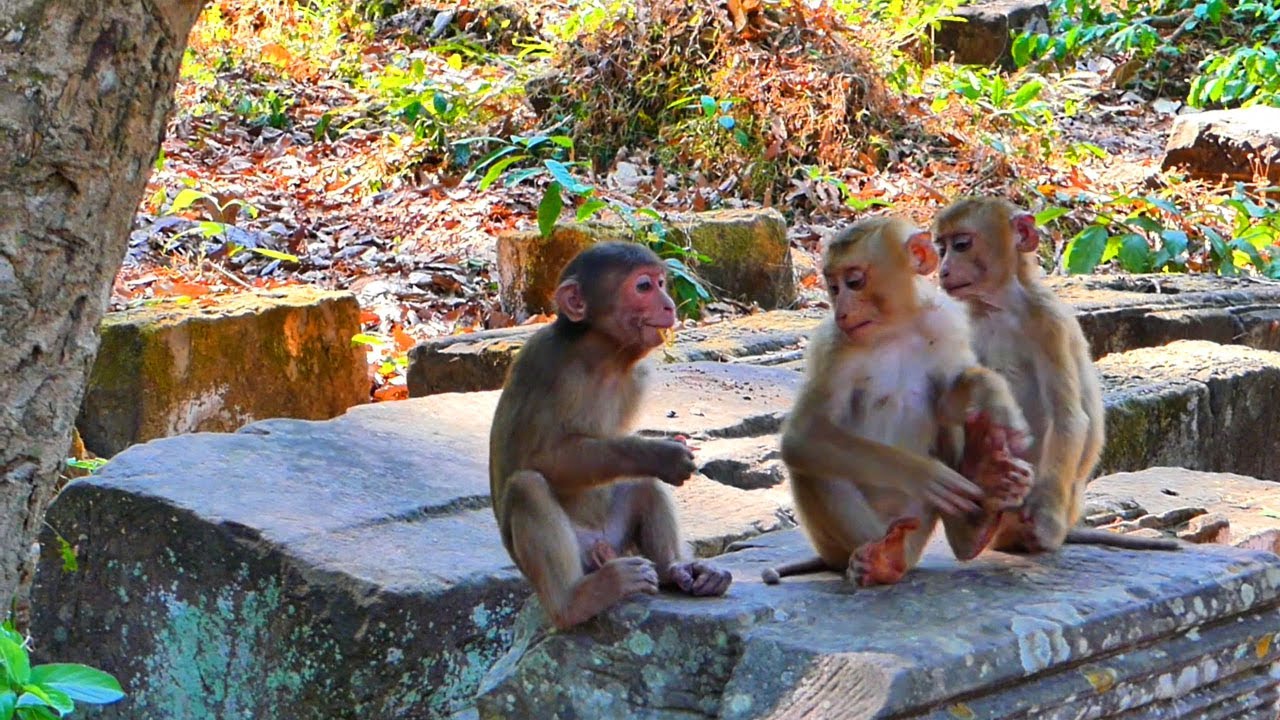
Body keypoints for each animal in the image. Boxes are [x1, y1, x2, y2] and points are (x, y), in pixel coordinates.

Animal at [488, 241, 733, 631]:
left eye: (661, 282)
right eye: (644, 287)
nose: (669, 305)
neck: (601, 358)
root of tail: (601, 547)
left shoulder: (637, 375)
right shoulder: (547, 364)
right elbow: (537, 459)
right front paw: (659, 453)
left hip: (616, 536)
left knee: (642, 485)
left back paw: (676, 569)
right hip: (576, 556)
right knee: (527, 485)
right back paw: (575, 602)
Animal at [761, 217, 1036, 586]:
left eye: (853, 282)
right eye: (834, 288)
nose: (842, 311)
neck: (896, 329)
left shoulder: (945, 322)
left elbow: (950, 394)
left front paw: (993, 395)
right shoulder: (833, 348)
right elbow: (802, 435)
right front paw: (923, 474)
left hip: (921, 524)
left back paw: (978, 509)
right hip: (859, 539)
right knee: (812, 464)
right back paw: (880, 561)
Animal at [932, 197, 1179, 552]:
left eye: (961, 245)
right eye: (941, 248)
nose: (943, 270)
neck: (994, 308)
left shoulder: (1049, 322)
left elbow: (1068, 418)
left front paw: (1044, 515)